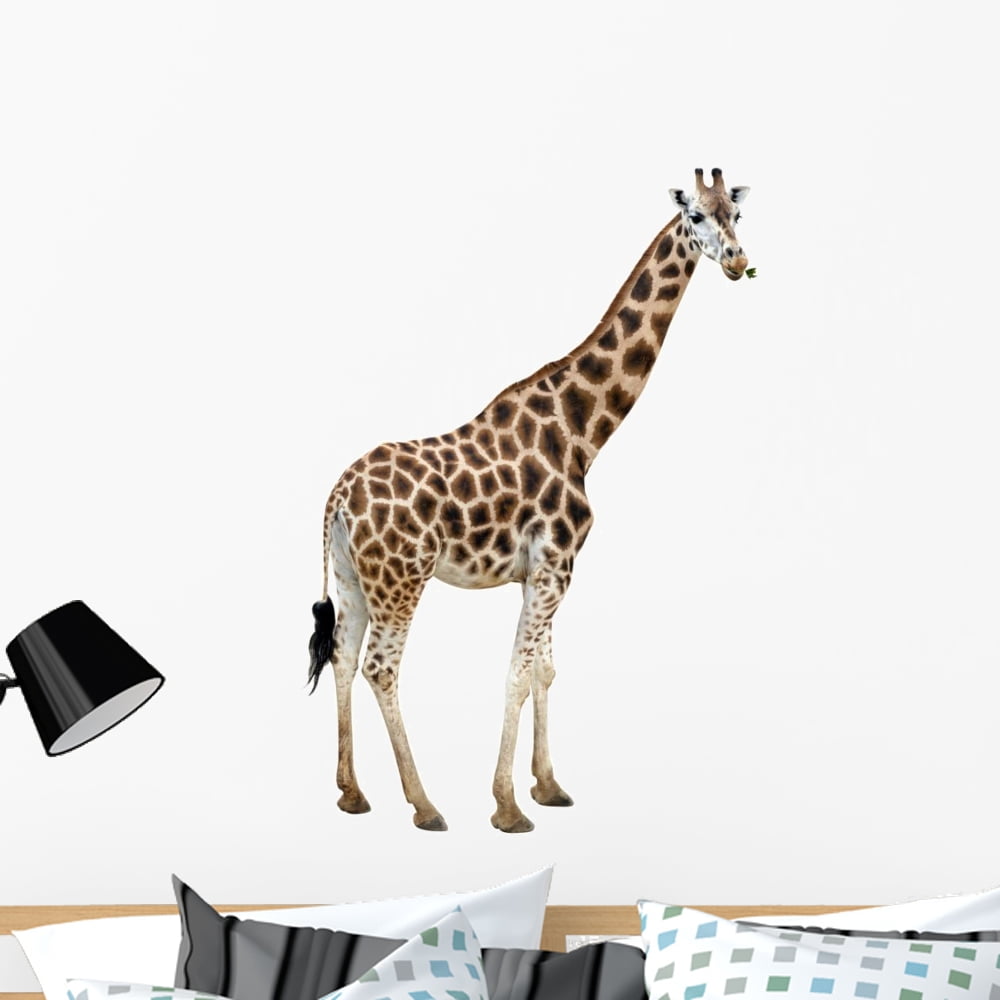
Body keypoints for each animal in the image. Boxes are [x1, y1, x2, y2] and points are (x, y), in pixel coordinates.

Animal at [308, 168, 751, 833]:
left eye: (737, 215)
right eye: (694, 217)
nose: (739, 261)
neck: (583, 429)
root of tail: (337, 496)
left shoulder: (542, 570)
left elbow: (544, 669)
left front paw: (547, 785)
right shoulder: (555, 566)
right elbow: (518, 674)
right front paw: (508, 806)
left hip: (353, 576)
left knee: (340, 654)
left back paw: (352, 794)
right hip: (401, 579)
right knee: (381, 668)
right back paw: (424, 804)